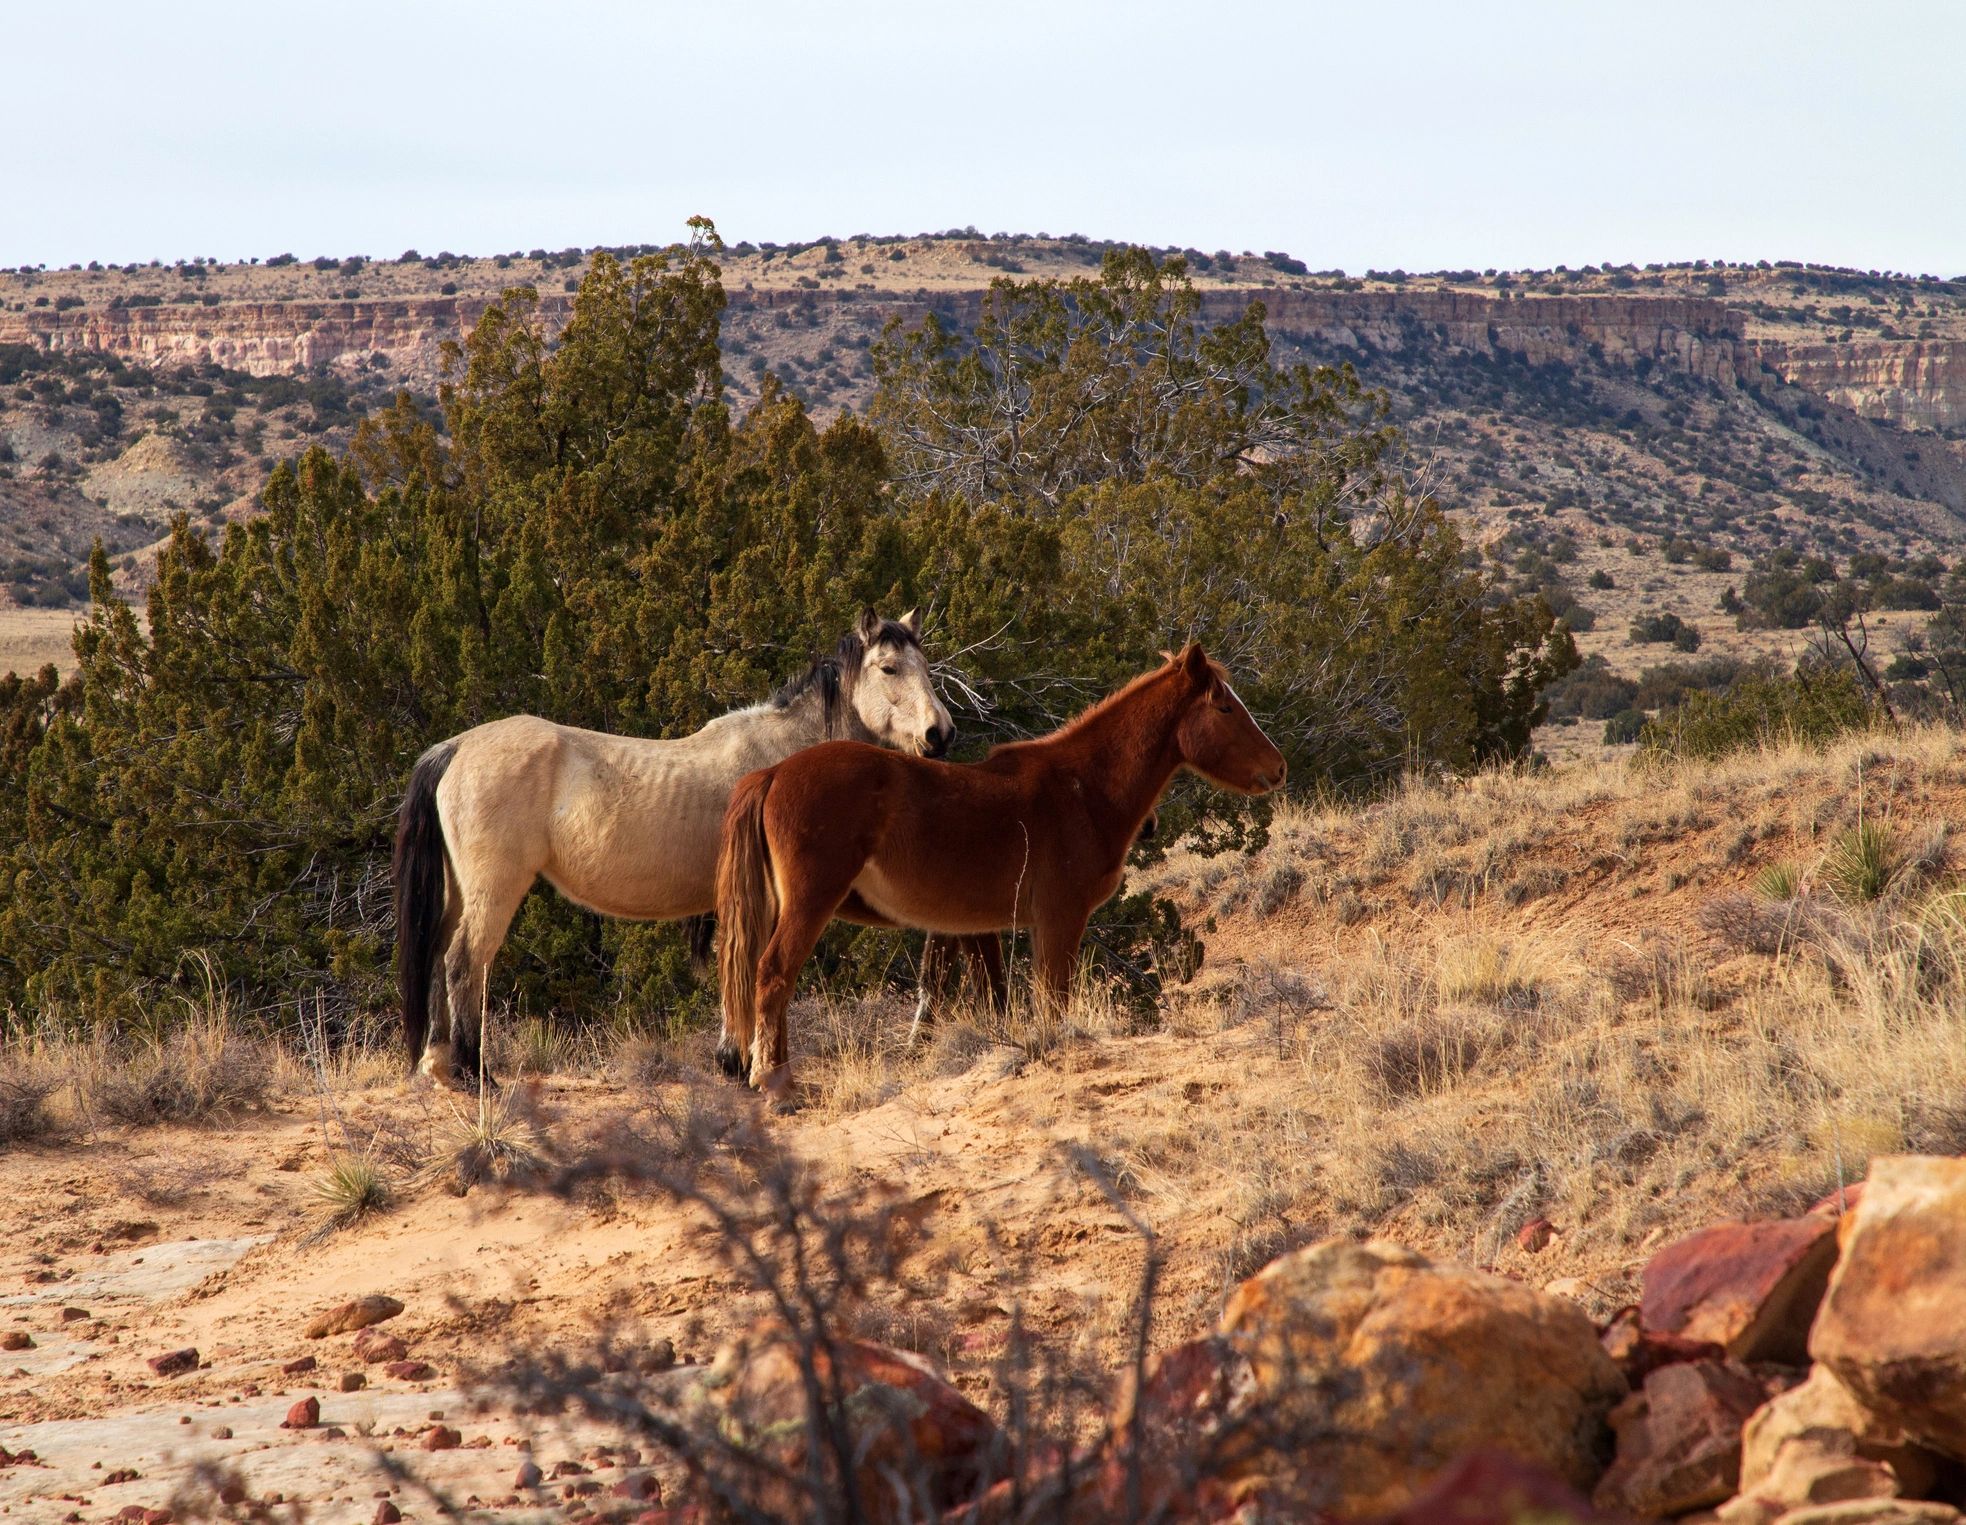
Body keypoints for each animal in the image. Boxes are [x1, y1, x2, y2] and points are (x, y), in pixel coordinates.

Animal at [393, 608, 972, 1088]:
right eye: (889, 668)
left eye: (925, 665)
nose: (939, 733)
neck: (779, 759)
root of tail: (456, 747)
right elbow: (751, 965)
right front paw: (743, 1064)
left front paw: (735, 1061)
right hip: (494, 890)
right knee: (465, 962)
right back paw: (475, 1073)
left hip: (458, 892)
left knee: (440, 955)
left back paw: (439, 1066)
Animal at [716, 643, 1286, 1097]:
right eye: (1224, 706)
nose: (1278, 768)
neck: (1081, 789)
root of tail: (774, 772)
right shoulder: (1059, 920)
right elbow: (1052, 1003)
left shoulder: (987, 929)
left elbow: (999, 1000)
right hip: (809, 903)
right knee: (774, 974)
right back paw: (775, 1082)